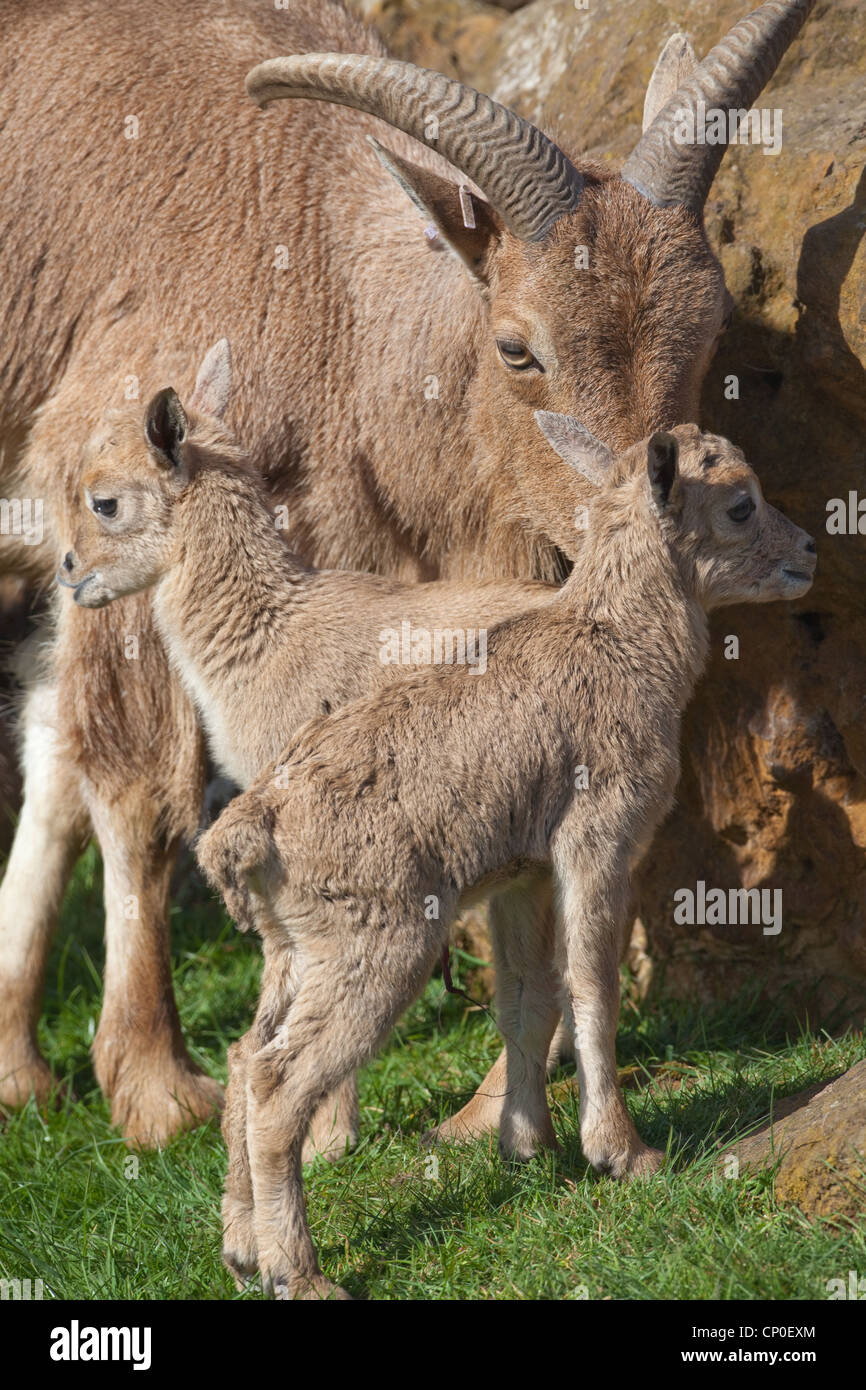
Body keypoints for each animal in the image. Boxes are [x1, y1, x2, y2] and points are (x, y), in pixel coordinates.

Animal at [0, 0, 817, 1144]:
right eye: (516, 346)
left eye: (709, 333)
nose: (642, 500)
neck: (325, 288)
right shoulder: (106, 507)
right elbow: (133, 788)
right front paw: (159, 1087)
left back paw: (18, 1066)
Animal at [195, 419, 816, 1298]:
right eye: (739, 505)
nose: (808, 552)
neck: (622, 652)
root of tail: (249, 829)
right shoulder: (598, 835)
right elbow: (592, 984)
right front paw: (623, 1153)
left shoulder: (522, 876)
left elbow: (529, 997)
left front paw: (530, 1146)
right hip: (375, 939)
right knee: (279, 1084)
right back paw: (302, 1273)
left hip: (293, 946)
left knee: (245, 1058)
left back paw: (243, 1248)